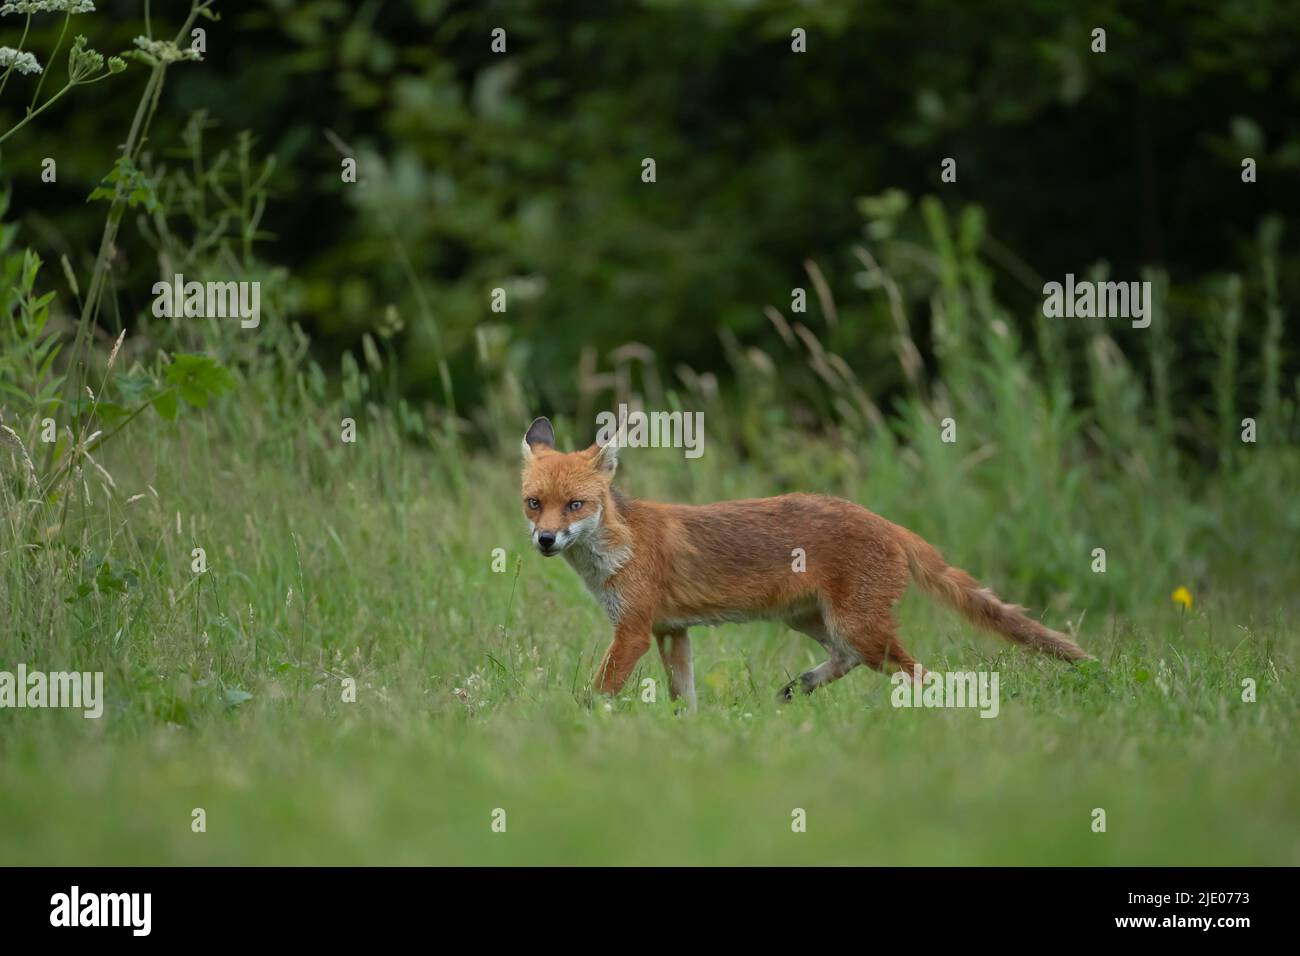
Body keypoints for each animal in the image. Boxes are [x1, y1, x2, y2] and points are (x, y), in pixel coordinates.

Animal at [520, 416, 1091, 710]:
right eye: (534, 503)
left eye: (575, 505)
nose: (545, 539)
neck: (619, 548)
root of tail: (888, 523)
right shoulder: (669, 632)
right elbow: (685, 699)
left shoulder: (634, 631)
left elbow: (598, 693)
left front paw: (579, 727)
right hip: (814, 620)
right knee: (847, 658)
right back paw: (800, 687)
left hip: (858, 626)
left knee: (919, 672)